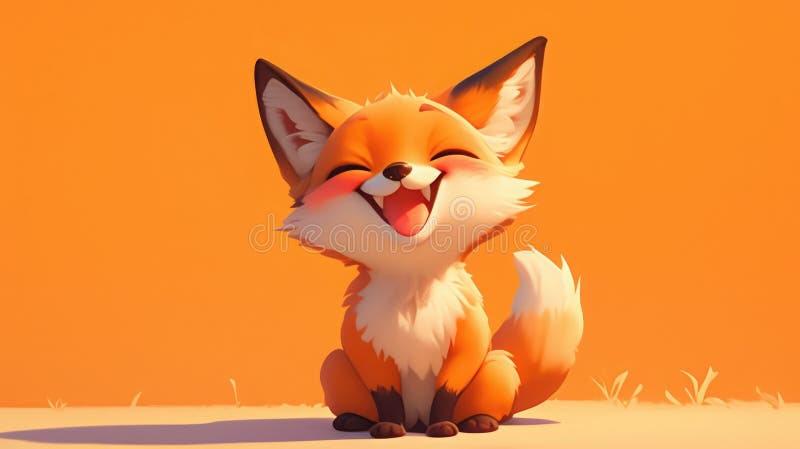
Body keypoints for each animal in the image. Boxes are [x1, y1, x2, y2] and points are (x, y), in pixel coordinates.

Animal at [253, 36, 583, 438]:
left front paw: (443, 427)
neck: (412, 299)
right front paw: (388, 428)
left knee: (493, 405)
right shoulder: (365, 349)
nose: (397, 169)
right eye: (353, 168)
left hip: (498, 367)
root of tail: (417, 418)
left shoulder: (466, 343)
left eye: (445, 153)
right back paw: (354, 421)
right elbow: (386, 397)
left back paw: (479, 421)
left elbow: (447, 393)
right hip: (333, 364)